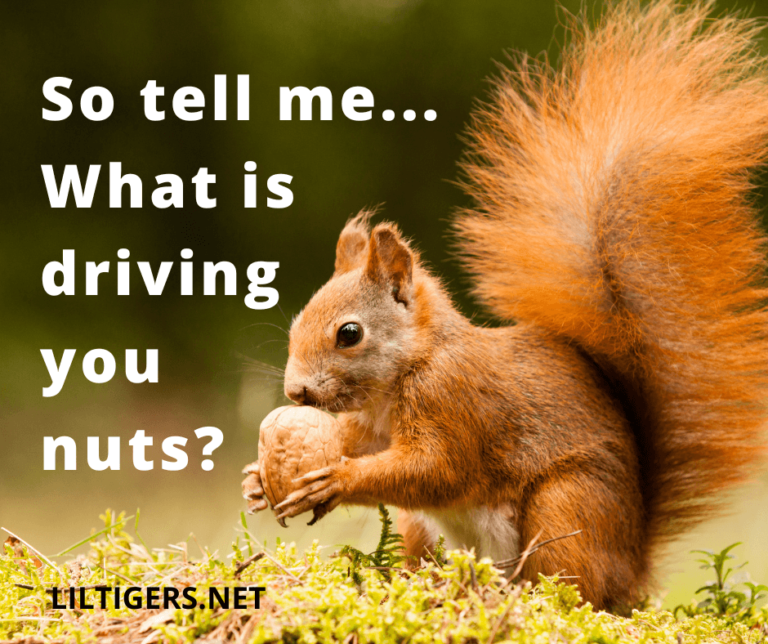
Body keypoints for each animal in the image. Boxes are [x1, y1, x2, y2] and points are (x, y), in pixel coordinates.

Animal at [242, 0, 768, 610]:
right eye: (296, 325)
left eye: (349, 334)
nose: (295, 392)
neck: (408, 370)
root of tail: (632, 566)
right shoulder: (372, 428)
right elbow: (360, 445)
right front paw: (257, 478)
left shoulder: (455, 402)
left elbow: (435, 470)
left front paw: (337, 480)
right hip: (424, 528)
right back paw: (430, 584)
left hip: (568, 505)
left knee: (571, 586)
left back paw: (528, 599)